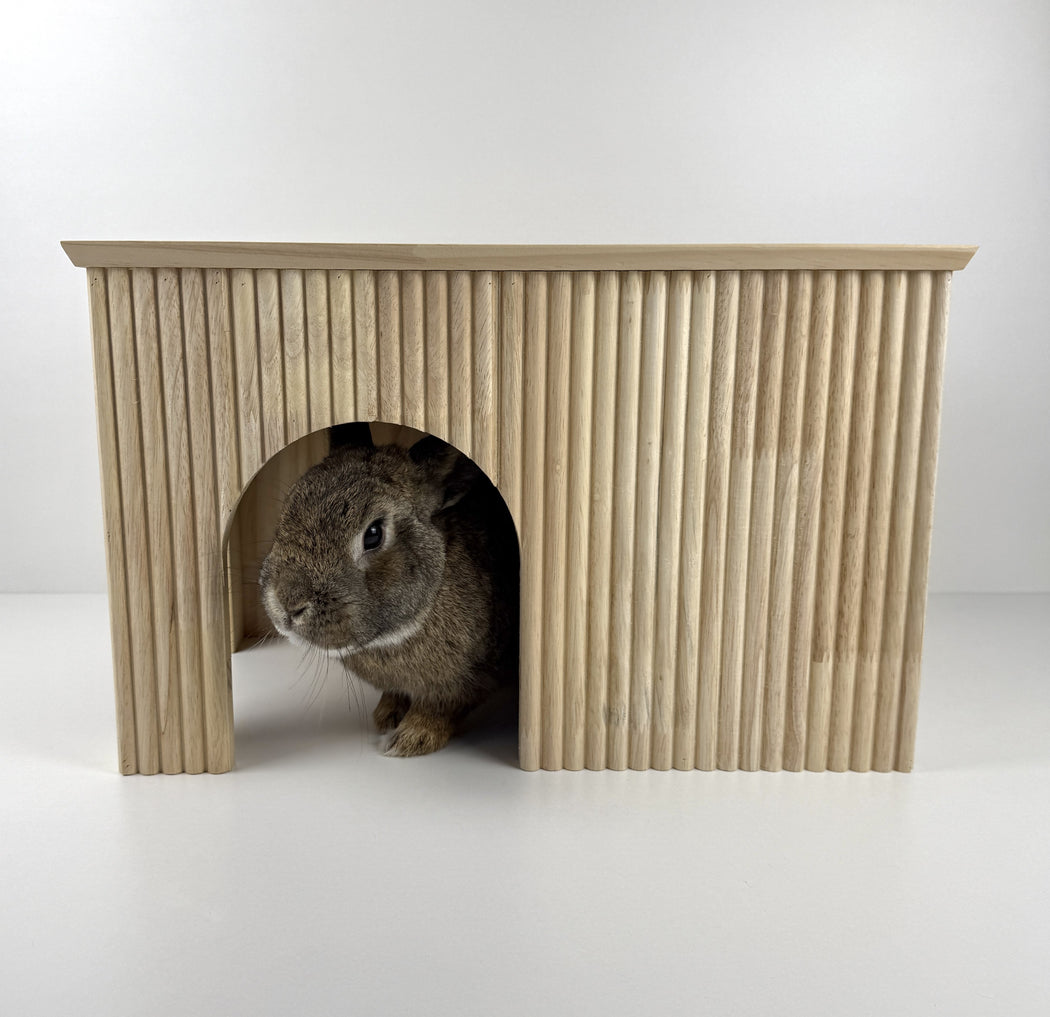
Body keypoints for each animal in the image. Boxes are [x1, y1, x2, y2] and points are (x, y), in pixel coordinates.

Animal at [259, 423, 519, 757]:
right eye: (290, 504)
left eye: (373, 534)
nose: (287, 604)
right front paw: (386, 716)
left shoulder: (466, 681)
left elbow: (439, 709)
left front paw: (410, 739)